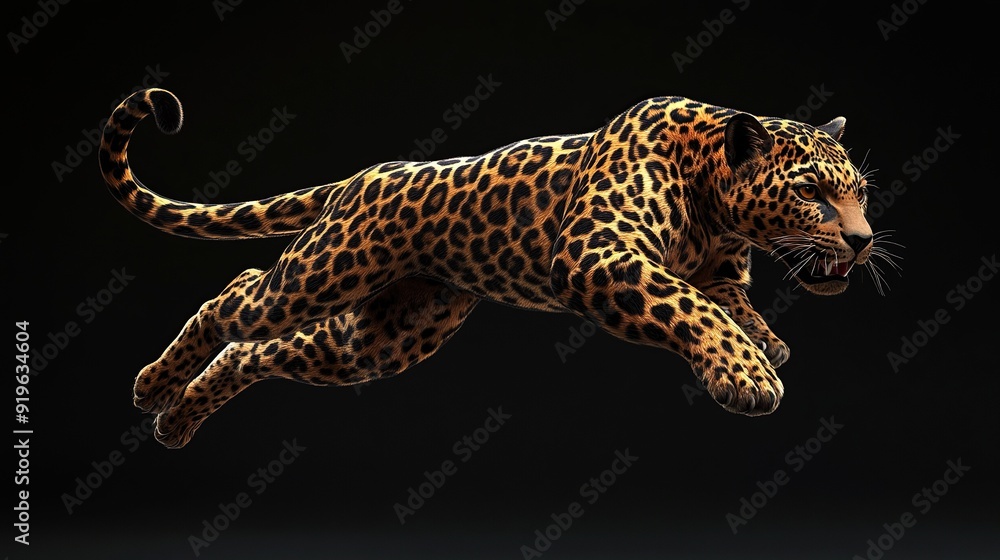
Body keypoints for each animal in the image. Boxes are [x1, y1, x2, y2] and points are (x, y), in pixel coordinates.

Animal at [99, 88, 888, 449]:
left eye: (859, 191)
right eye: (812, 192)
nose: (862, 241)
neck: (712, 197)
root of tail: (358, 178)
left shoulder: (720, 270)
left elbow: (726, 303)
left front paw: (765, 342)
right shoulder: (597, 252)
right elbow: (691, 307)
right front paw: (747, 375)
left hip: (378, 337)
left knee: (262, 347)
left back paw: (176, 423)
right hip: (328, 270)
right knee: (235, 300)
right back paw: (152, 386)